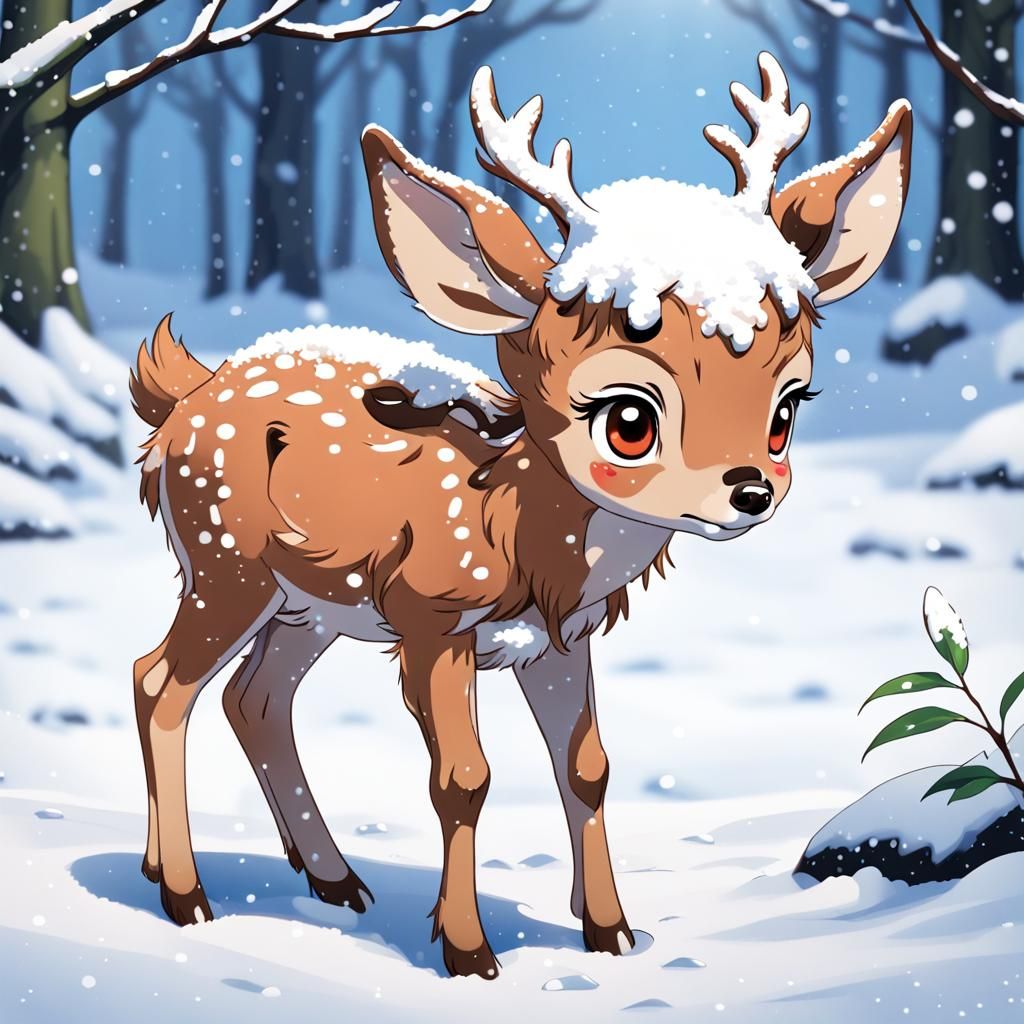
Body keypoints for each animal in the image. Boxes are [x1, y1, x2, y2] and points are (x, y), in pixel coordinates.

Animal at [130, 52, 911, 979]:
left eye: (788, 407)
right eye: (628, 418)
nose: (751, 489)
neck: (519, 531)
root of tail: (181, 398)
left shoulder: (561, 638)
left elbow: (587, 767)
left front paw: (611, 933)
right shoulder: (432, 616)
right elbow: (463, 779)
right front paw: (469, 951)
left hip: (309, 603)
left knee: (254, 700)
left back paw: (329, 879)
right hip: (225, 561)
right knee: (158, 683)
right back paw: (186, 896)